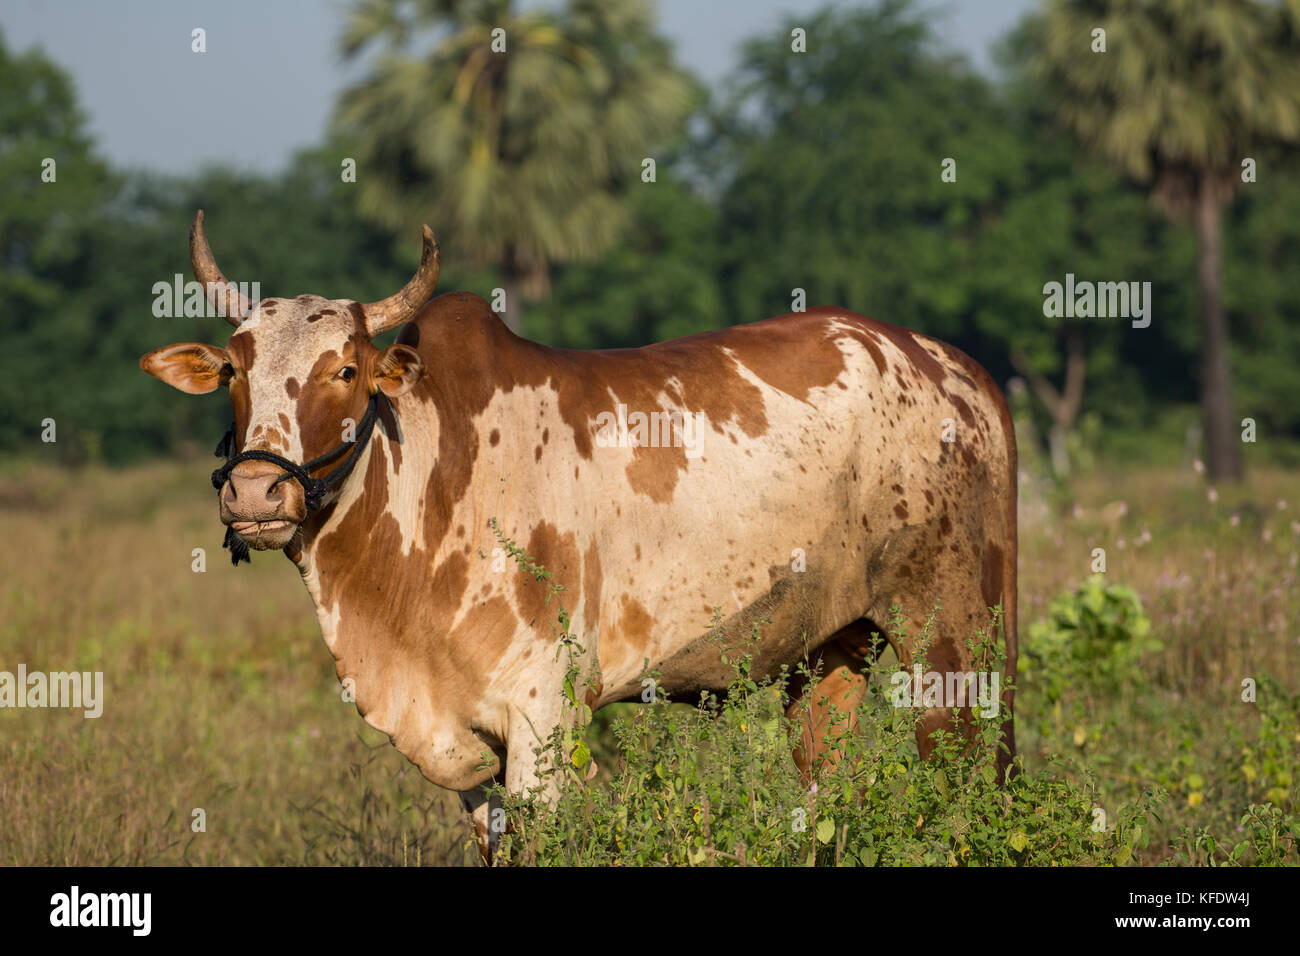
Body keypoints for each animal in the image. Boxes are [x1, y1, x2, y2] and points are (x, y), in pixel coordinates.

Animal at [141, 211, 1018, 864]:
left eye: (347, 371)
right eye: (234, 371)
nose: (256, 491)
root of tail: (956, 367)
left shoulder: (542, 721)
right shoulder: (472, 760)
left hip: (952, 643)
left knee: (969, 777)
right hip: (831, 651)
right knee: (825, 782)